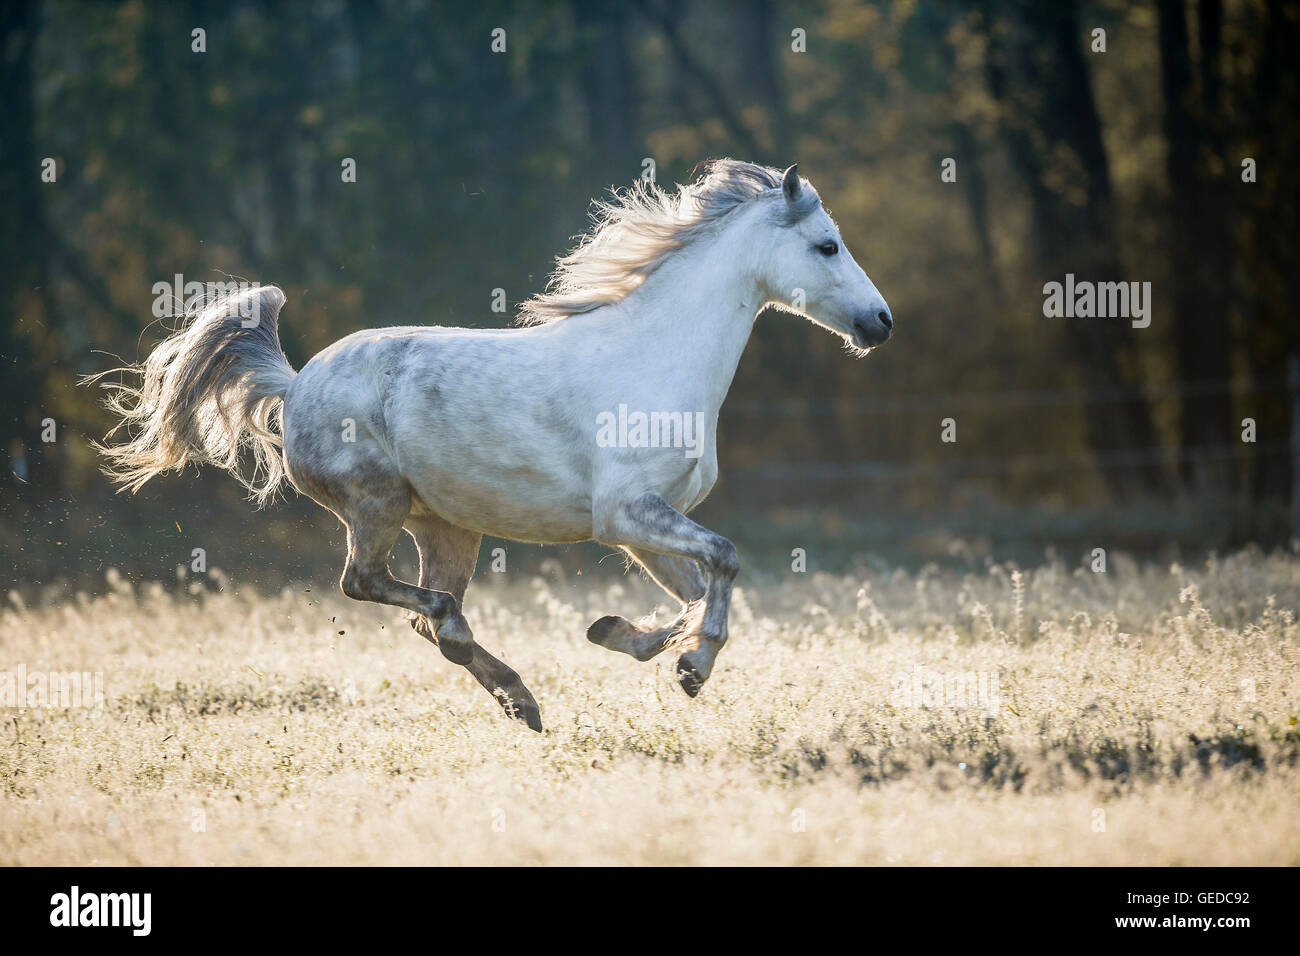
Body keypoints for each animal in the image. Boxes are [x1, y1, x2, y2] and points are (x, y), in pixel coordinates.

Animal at [94, 160, 893, 732]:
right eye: (826, 245)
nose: (880, 322)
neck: (654, 355)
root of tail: (294, 386)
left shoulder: (645, 531)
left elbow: (701, 592)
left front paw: (627, 638)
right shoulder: (628, 515)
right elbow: (723, 562)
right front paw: (687, 665)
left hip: (446, 527)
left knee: (428, 623)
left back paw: (521, 700)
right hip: (377, 504)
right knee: (371, 586)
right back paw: (489, 657)